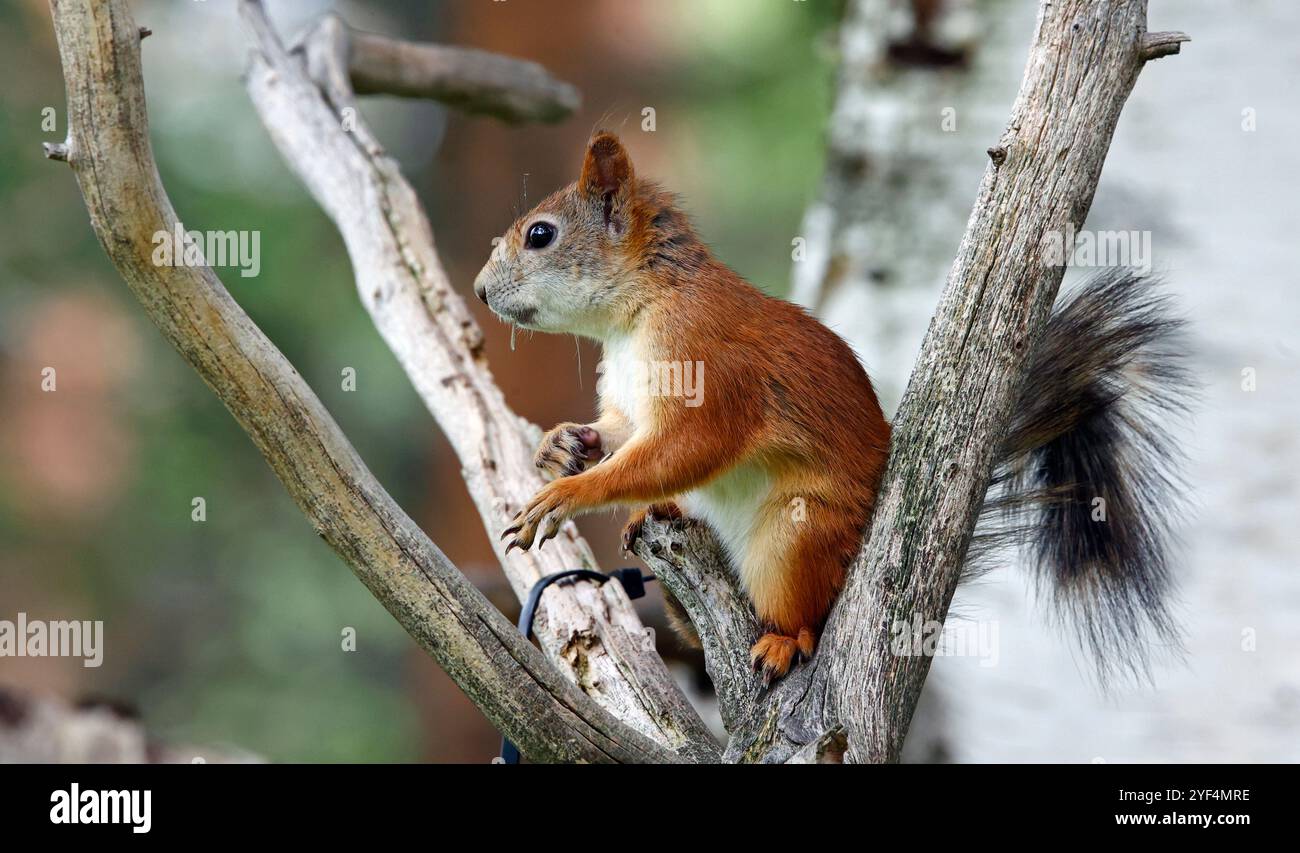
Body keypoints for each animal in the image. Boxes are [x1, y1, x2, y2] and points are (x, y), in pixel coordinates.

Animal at [474, 131, 1187, 683]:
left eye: (540, 235)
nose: (480, 291)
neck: (635, 314)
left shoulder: (708, 364)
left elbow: (692, 446)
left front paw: (567, 495)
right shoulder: (629, 400)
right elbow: (624, 431)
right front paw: (562, 446)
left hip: (796, 535)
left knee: (804, 616)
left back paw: (783, 640)